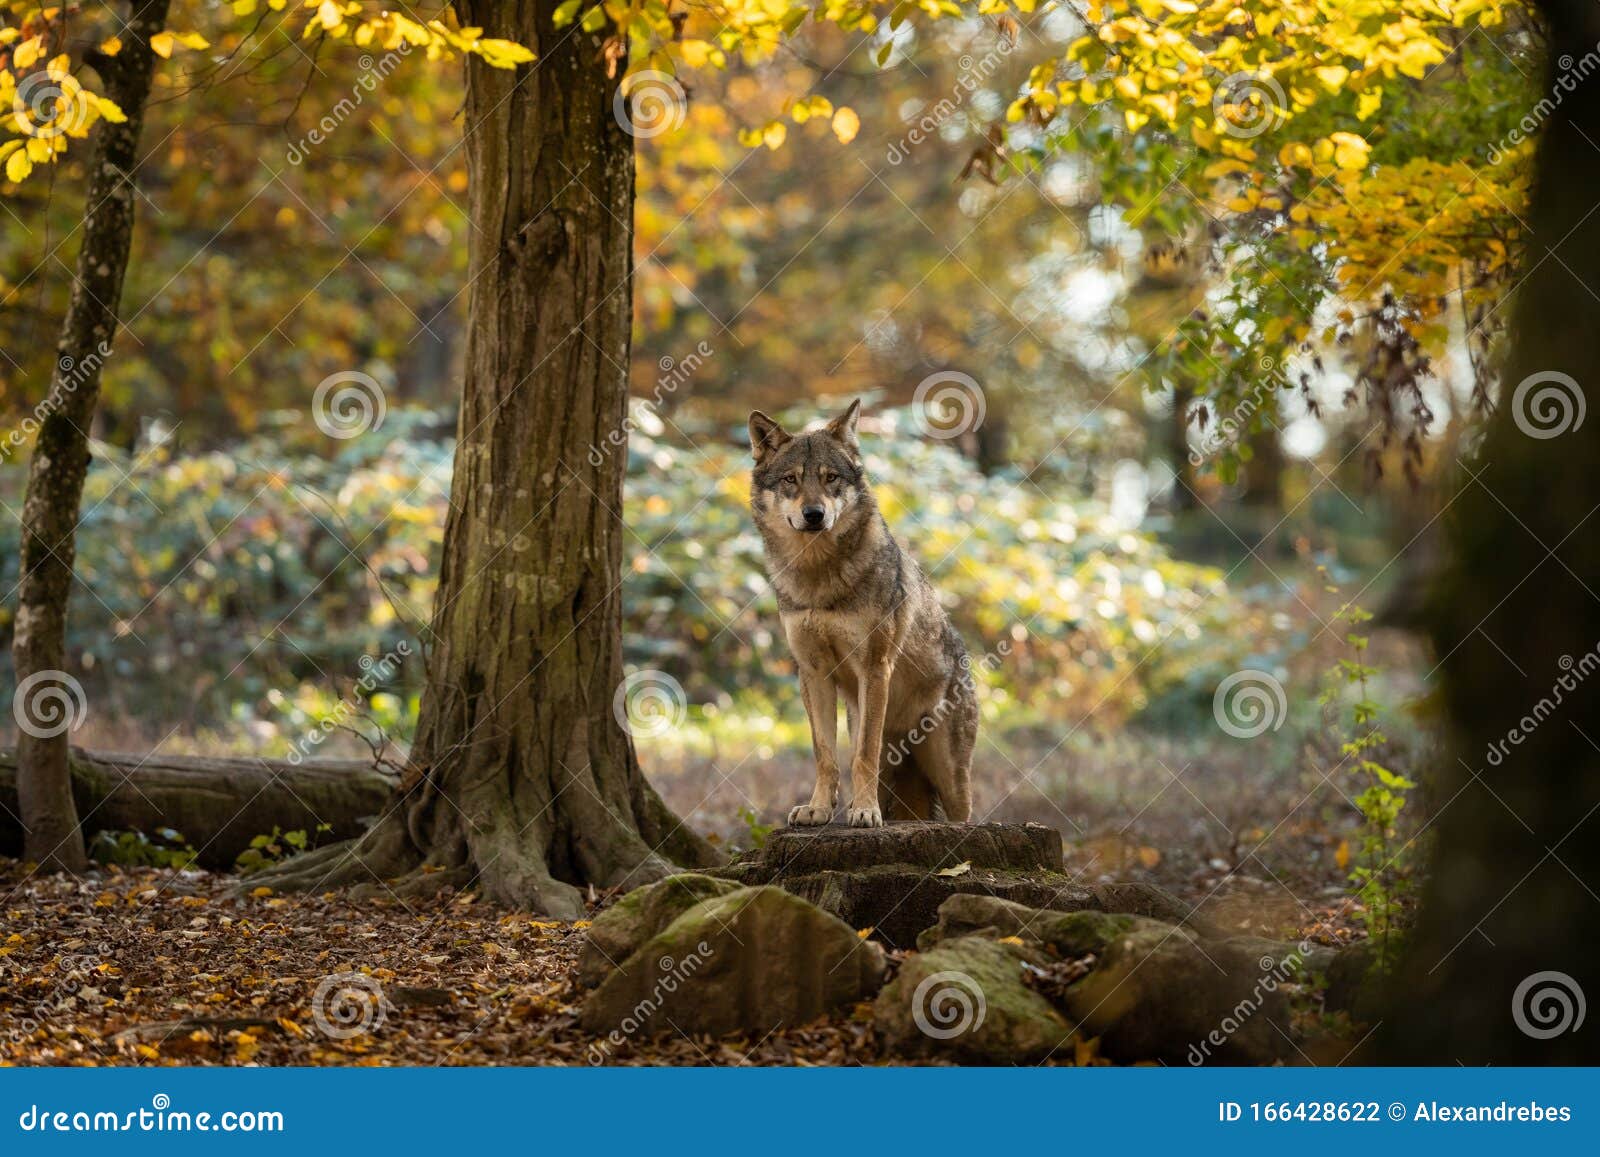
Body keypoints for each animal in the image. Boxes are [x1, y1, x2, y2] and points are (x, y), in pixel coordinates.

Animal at [747, 399, 976, 828]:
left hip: (952, 778)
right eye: (790, 480)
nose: (814, 514)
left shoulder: (874, 667)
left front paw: (866, 813)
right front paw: (819, 809)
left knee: (963, 812)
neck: (820, 578)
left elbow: (863, 755)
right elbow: (825, 755)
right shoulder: (813, 672)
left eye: (831, 478)